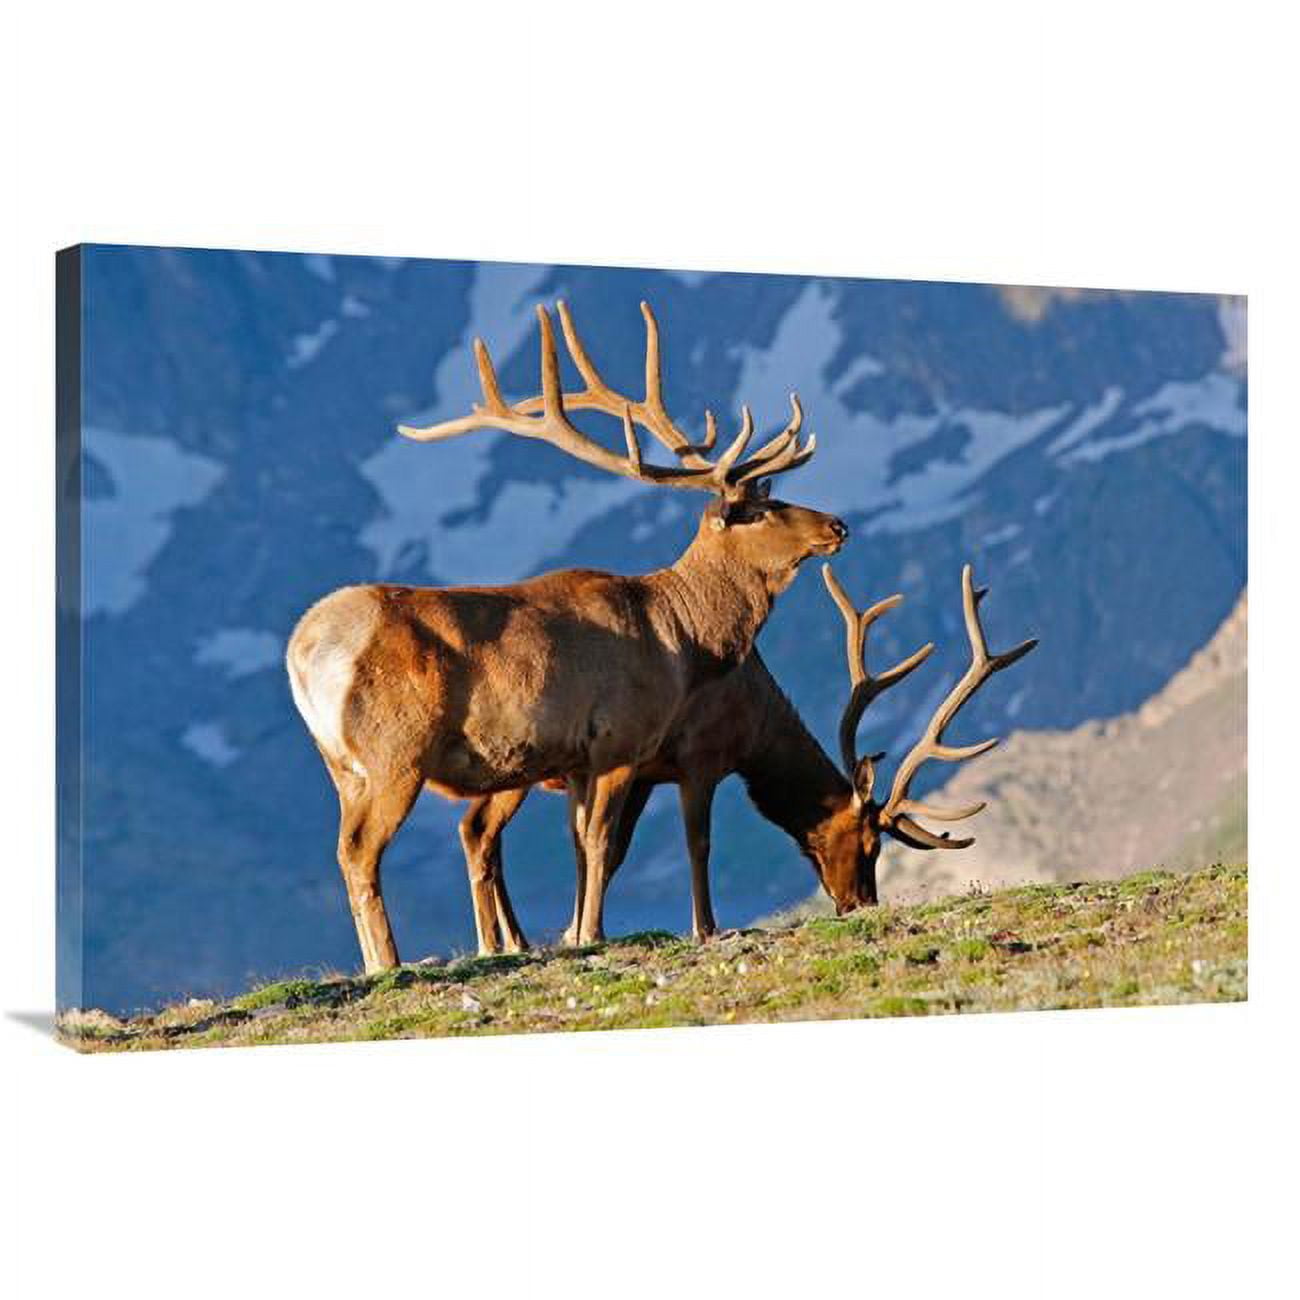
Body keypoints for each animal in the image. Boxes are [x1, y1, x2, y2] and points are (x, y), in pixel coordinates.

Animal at [286, 300, 846, 972]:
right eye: (763, 510)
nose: (838, 525)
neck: (684, 640)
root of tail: (304, 649)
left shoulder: (577, 759)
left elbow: (579, 845)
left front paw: (578, 931)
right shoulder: (619, 739)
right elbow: (603, 841)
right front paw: (593, 934)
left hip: (339, 764)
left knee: (348, 846)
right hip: (395, 752)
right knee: (361, 851)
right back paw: (389, 963)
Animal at [461, 562, 1037, 953]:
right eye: (870, 845)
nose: (860, 904)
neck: (755, 720)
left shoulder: (646, 772)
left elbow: (614, 849)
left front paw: (571, 928)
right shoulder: (696, 759)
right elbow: (693, 845)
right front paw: (703, 927)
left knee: (479, 831)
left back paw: (514, 940)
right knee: (479, 831)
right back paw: (501, 943)